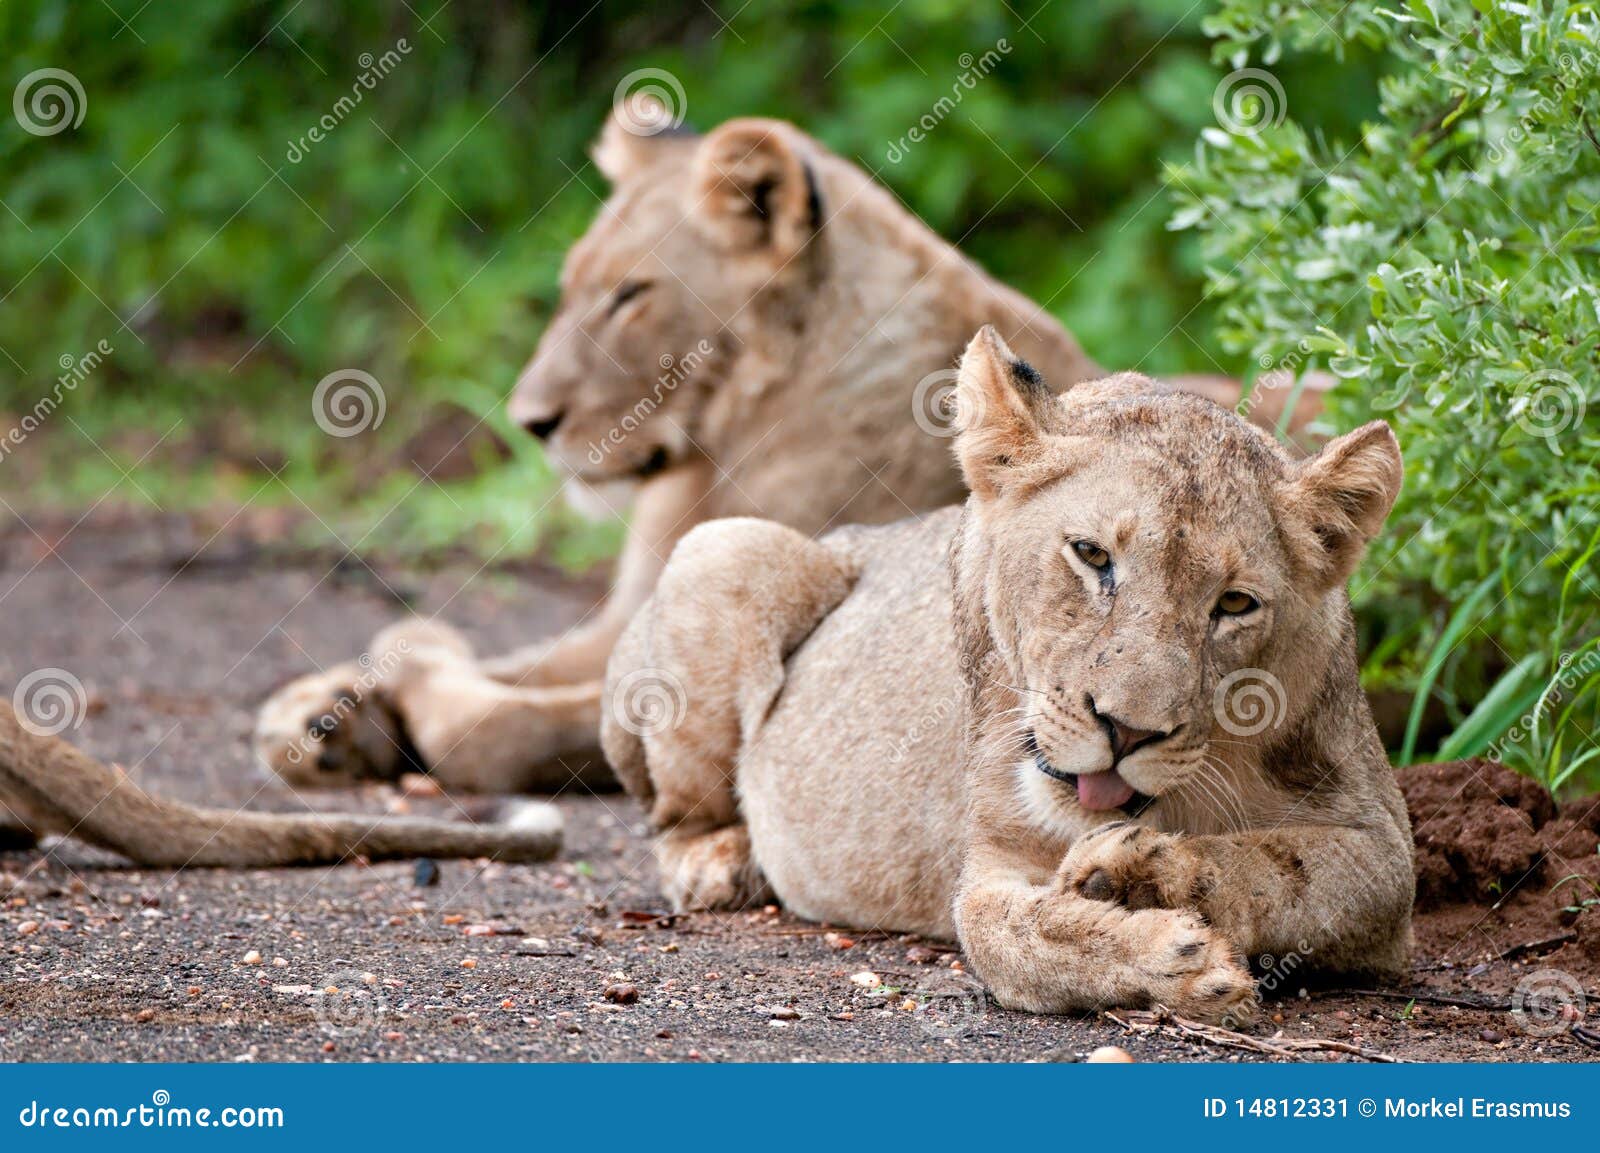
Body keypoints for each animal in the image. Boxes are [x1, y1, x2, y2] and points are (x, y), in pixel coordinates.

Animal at [255, 111, 1323, 797]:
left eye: (632, 294)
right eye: (571, 286)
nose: (530, 420)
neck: (719, 441)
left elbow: (523, 720)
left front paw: (414, 705)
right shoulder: (633, 611)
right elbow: (524, 662)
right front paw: (325, 709)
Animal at [599, 326, 1413, 1020]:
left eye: (1235, 603)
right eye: (1091, 555)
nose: (1127, 731)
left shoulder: (1382, 847)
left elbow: (1277, 864)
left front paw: (1147, 875)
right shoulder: (991, 856)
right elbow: (1007, 934)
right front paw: (1171, 957)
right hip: (721, 546)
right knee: (673, 820)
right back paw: (724, 864)